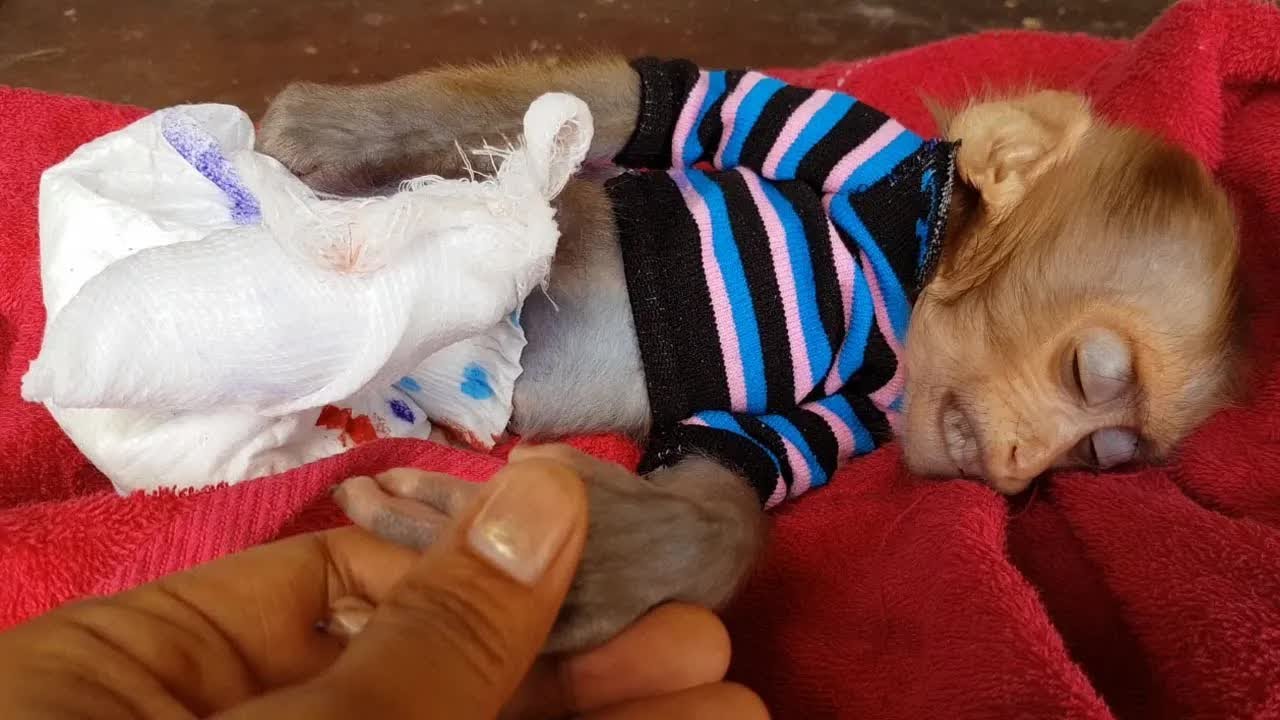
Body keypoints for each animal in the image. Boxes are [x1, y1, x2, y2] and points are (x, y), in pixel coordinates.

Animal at [254, 54, 1243, 654]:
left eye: (1099, 454)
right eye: (1091, 372)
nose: (1018, 469)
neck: (901, 295)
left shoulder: (858, 410)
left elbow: (747, 456)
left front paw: (600, 550)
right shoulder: (867, 149)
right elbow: (683, 102)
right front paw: (334, 132)